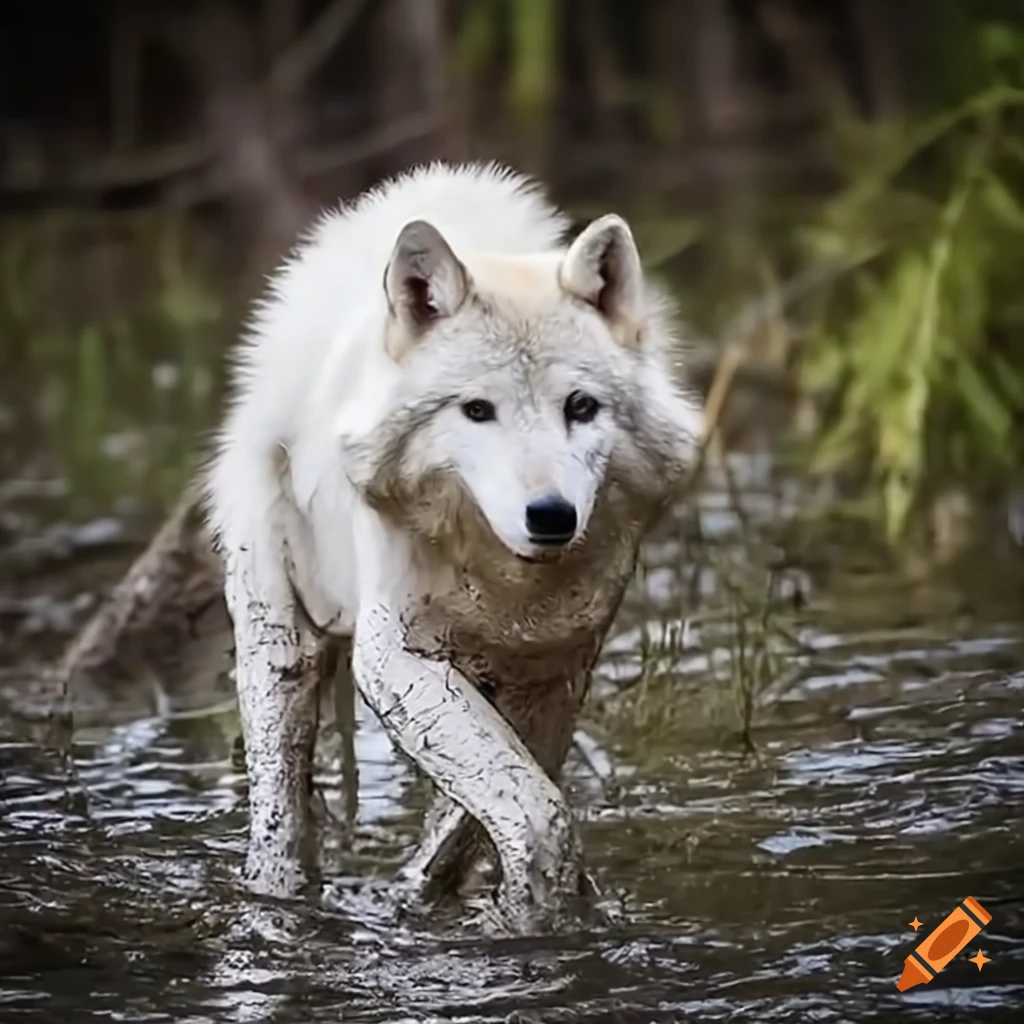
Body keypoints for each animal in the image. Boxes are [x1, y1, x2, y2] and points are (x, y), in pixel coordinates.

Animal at [203, 161, 703, 934]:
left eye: (581, 407)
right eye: (476, 410)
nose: (551, 516)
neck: (506, 583)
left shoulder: (558, 666)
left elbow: (503, 804)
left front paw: (507, 907)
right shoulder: (392, 657)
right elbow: (534, 811)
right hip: (280, 652)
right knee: (279, 813)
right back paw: (278, 897)